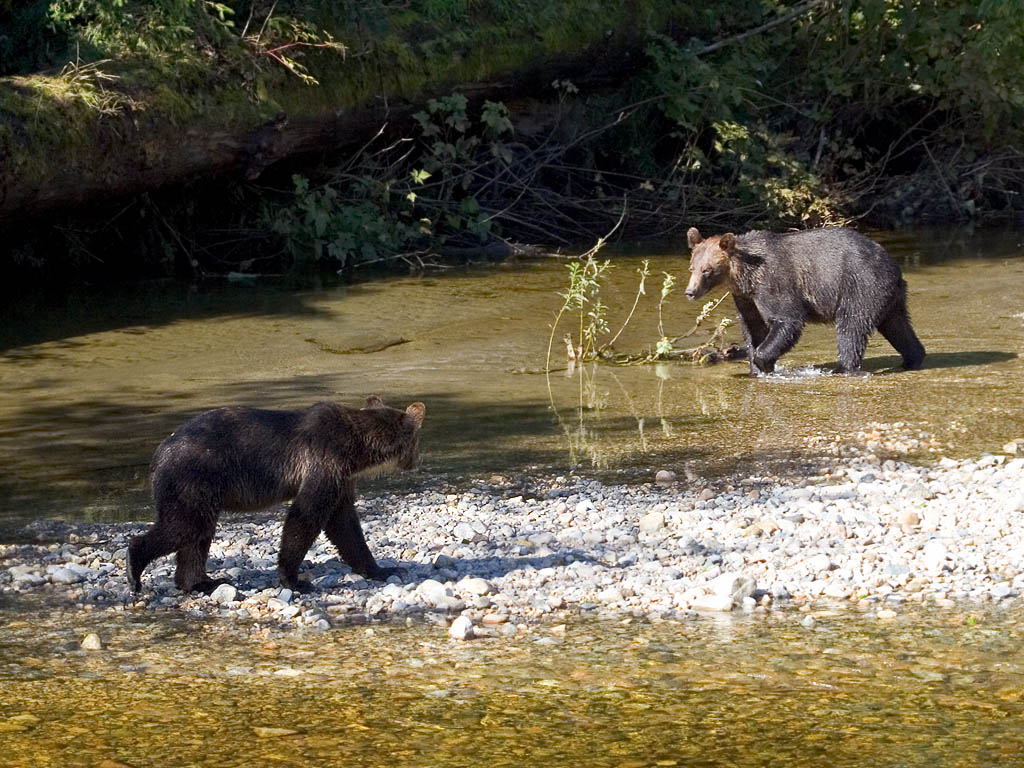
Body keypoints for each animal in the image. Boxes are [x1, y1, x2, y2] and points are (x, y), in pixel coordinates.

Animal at [126, 395, 425, 594]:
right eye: (416, 442)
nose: (415, 461)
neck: (358, 450)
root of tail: (158, 455)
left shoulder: (342, 477)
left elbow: (344, 525)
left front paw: (382, 569)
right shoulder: (325, 459)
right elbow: (305, 516)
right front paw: (295, 580)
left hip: (201, 488)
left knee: (197, 535)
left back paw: (203, 582)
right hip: (193, 477)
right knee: (186, 525)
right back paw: (135, 570)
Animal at [685, 226, 925, 374]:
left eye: (707, 270)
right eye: (692, 268)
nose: (690, 292)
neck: (745, 275)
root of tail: (894, 265)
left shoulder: (773, 283)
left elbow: (787, 320)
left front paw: (764, 361)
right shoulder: (746, 298)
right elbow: (753, 328)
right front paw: (755, 367)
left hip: (861, 285)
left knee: (851, 327)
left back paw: (843, 367)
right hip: (889, 298)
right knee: (897, 326)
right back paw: (913, 357)